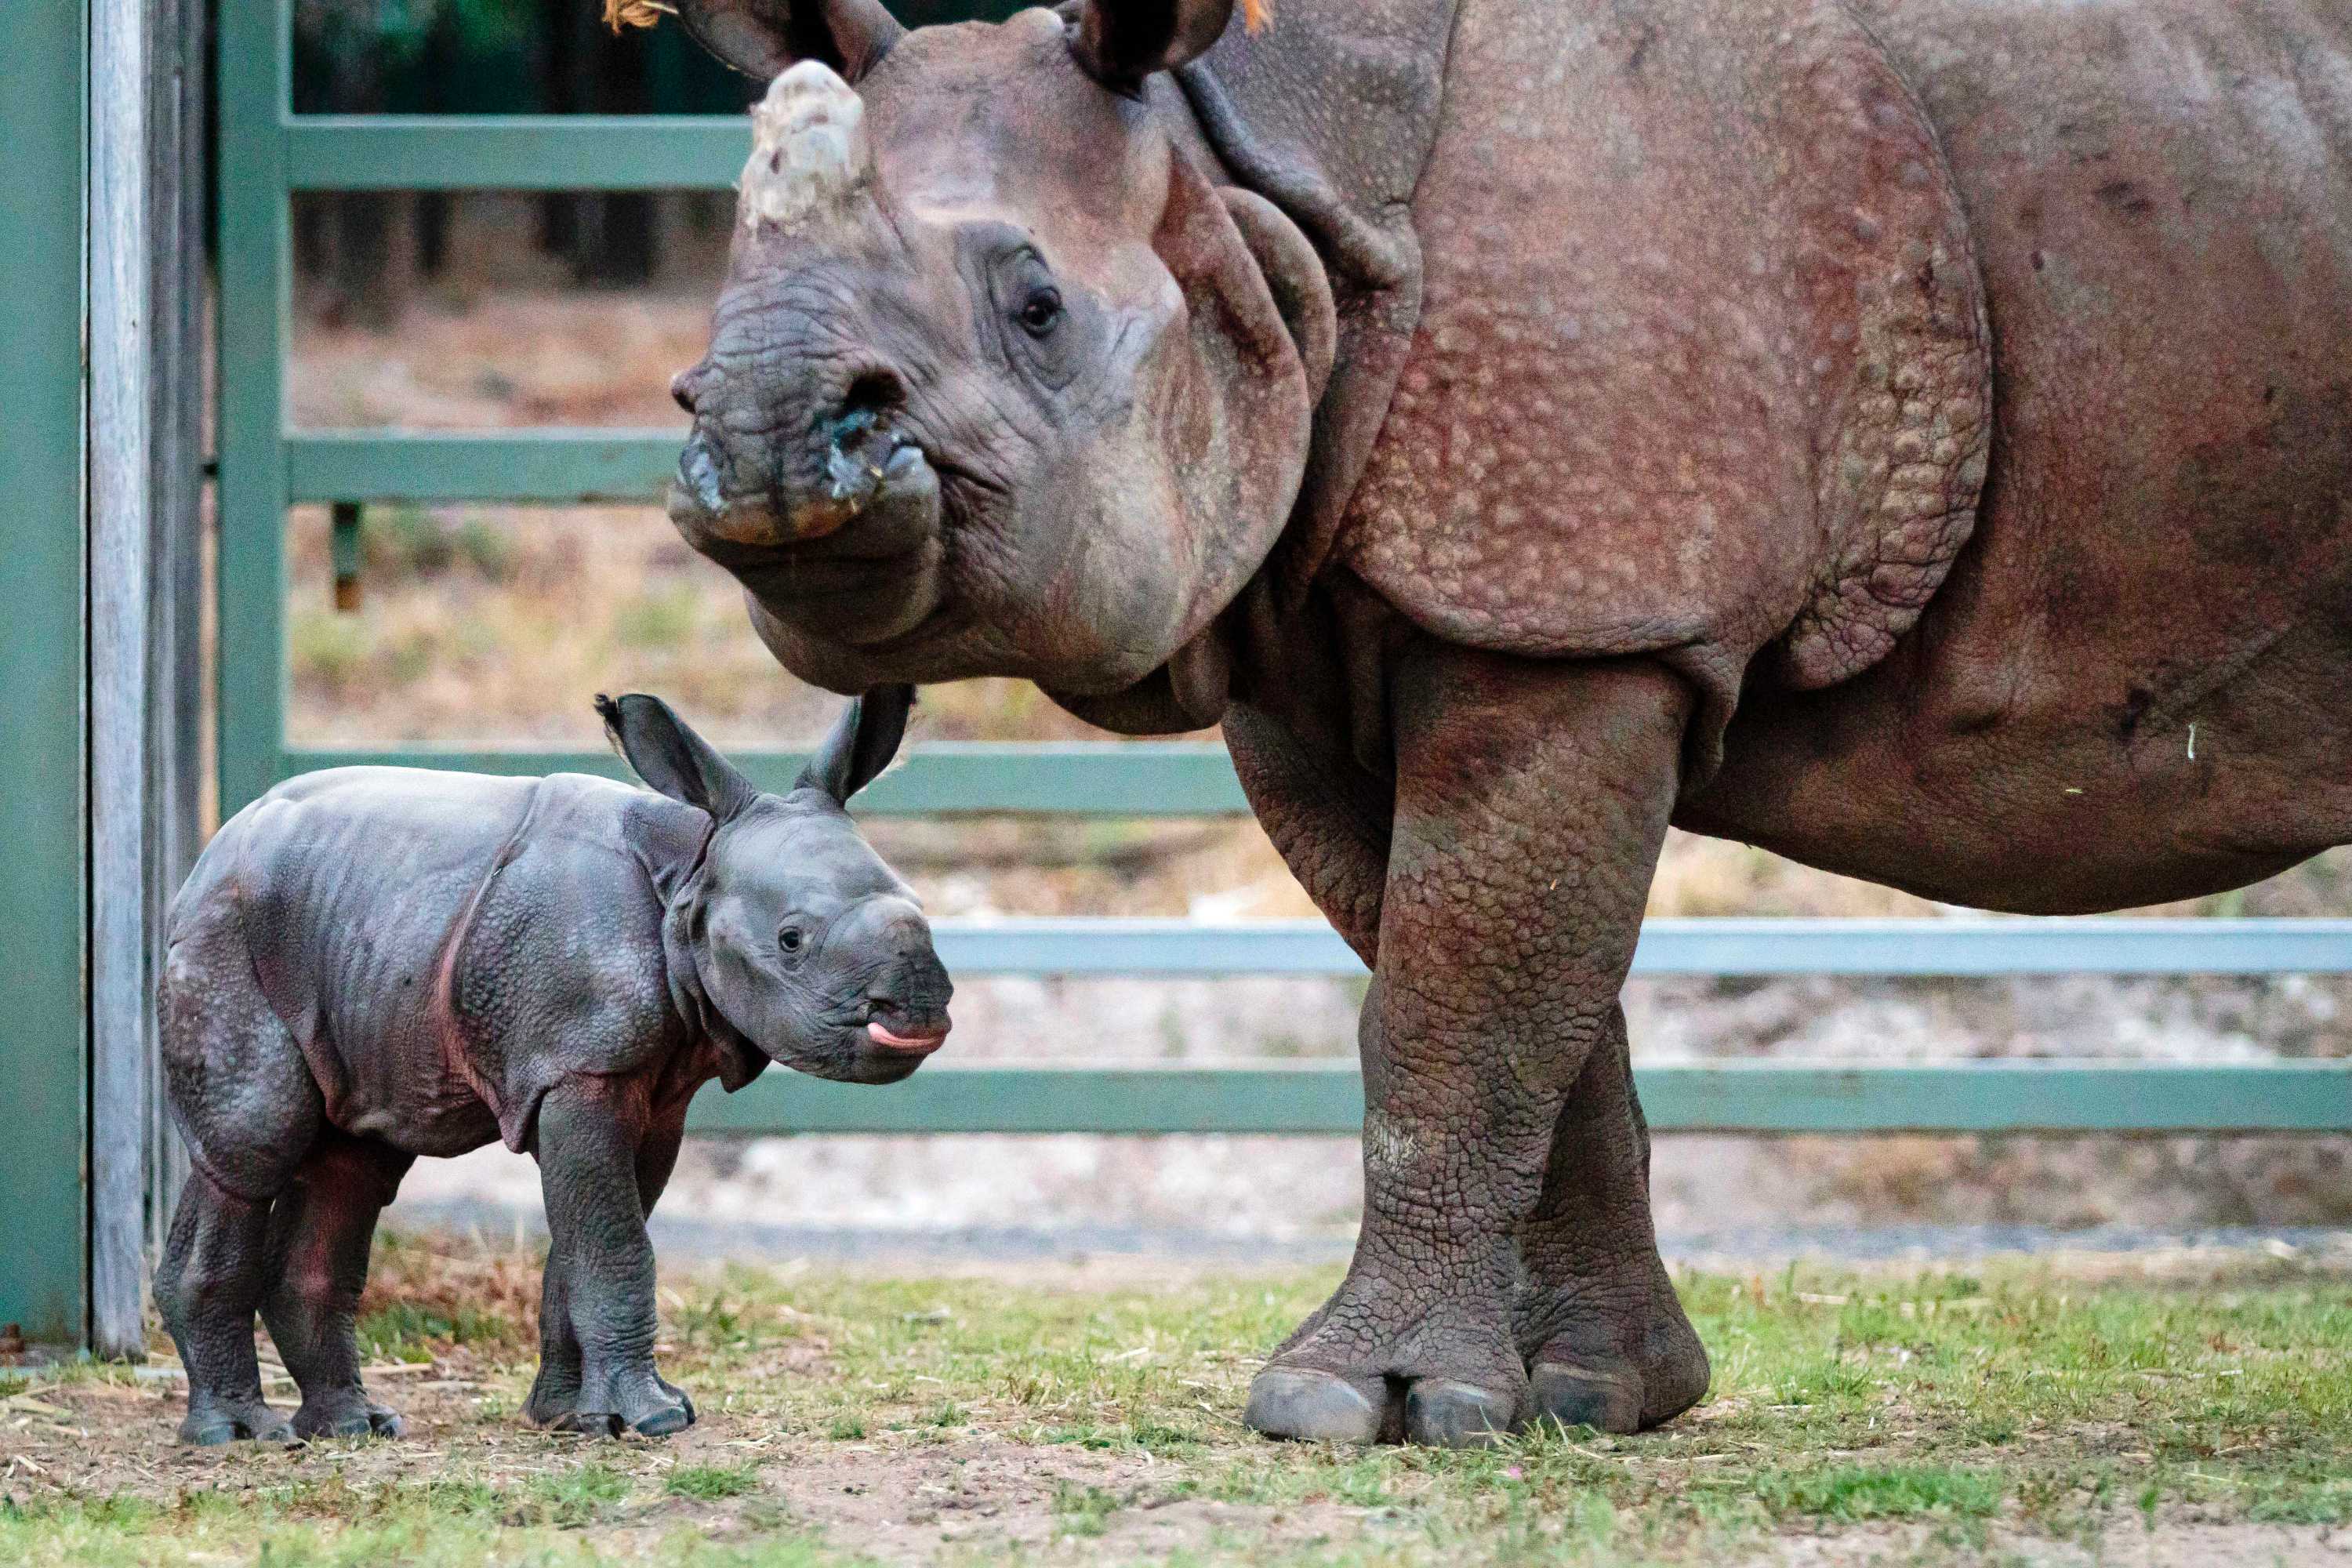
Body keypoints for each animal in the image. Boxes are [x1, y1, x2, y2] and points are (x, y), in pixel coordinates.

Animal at [155, 690, 948, 1443]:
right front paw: (651, 1421)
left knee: (354, 1159)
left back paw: (356, 1427)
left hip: (356, 925)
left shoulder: (650, 1092)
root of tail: (210, 851)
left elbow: (586, 1245)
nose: (920, 1009)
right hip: (228, 927)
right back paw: (242, 1435)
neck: (690, 871)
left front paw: (571, 1417)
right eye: (791, 941)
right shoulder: (580, 1065)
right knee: (253, 1145)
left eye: (920, 907)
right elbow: (613, 1243)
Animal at [635, 0, 2352, 1446]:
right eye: (706, 330)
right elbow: (1510, 991)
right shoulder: (1355, 629)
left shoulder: (1580, 609)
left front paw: (1354, 1407)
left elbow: (1458, 1003)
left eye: (1038, 304)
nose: (766, 439)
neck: (1253, 197)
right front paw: (1598, 1397)